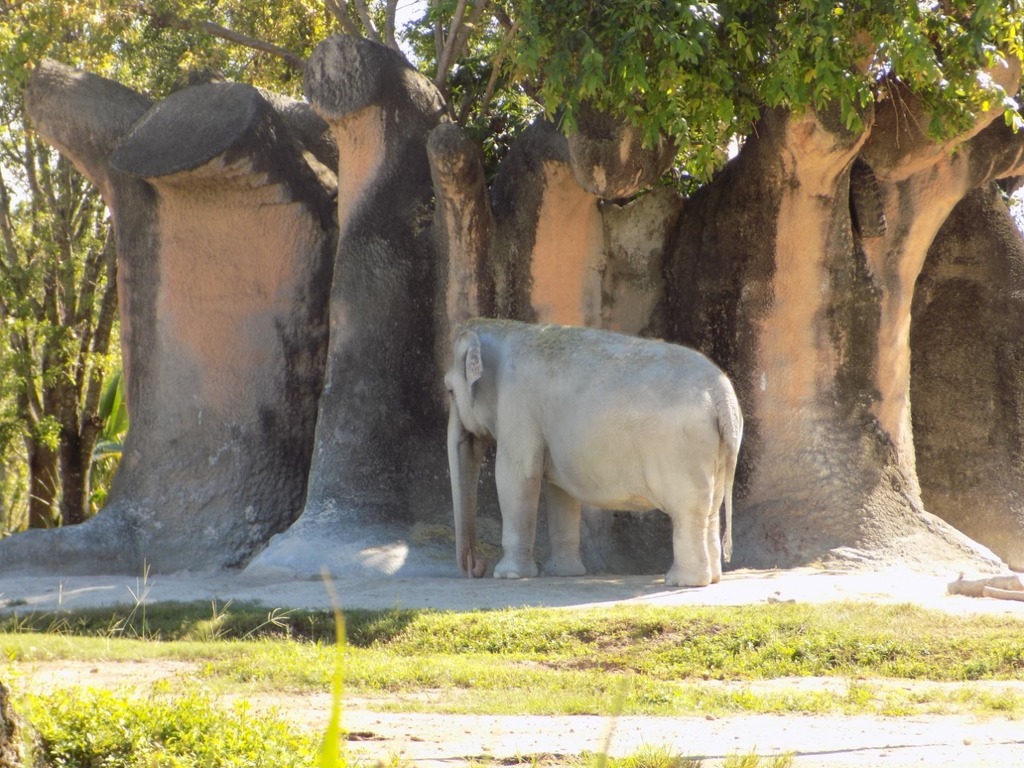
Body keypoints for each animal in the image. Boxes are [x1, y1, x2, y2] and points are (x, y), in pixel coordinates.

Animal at [444, 318, 743, 587]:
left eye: (449, 390)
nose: (475, 566)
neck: (503, 327)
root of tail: (721, 394)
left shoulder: (517, 407)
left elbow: (516, 478)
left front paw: (508, 575)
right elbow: (559, 491)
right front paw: (563, 574)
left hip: (682, 450)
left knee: (688, 509)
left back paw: (683, 582)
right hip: (716, 449)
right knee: (711, 509)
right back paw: (713, 579)